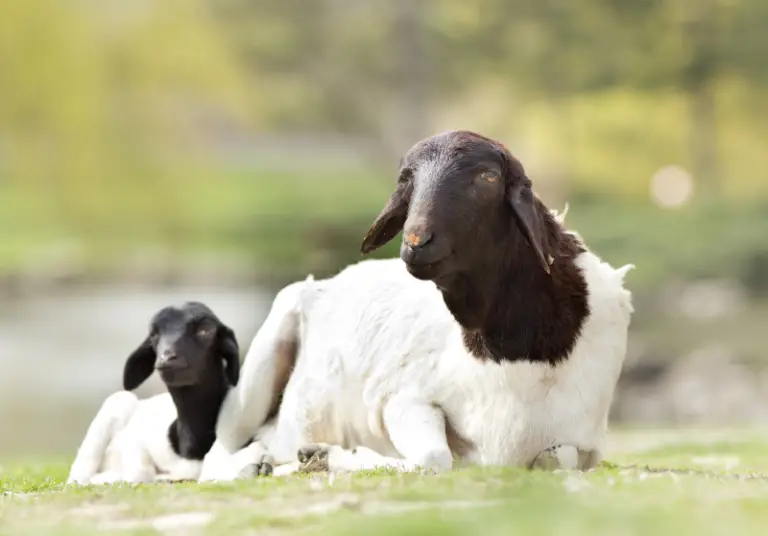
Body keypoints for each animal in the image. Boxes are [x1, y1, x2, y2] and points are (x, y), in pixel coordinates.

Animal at [66, 302, 273, 485]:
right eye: (154, 334)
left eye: (206, 330)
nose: (167, 358)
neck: (190, 444)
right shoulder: (136, 442)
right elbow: (139, 471)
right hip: (116, 404)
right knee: (78, 475)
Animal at [199, 130, 634, 480]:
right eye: (407, 179)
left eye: (488, 177)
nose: (416, 243)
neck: (516, 357)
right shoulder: (405, 400)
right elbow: (434, 458)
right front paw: (324, 456)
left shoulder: (585, 444)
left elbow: (558, 458)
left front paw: (319, 456)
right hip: (255, 377)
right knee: (217, 453)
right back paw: (253, 465)